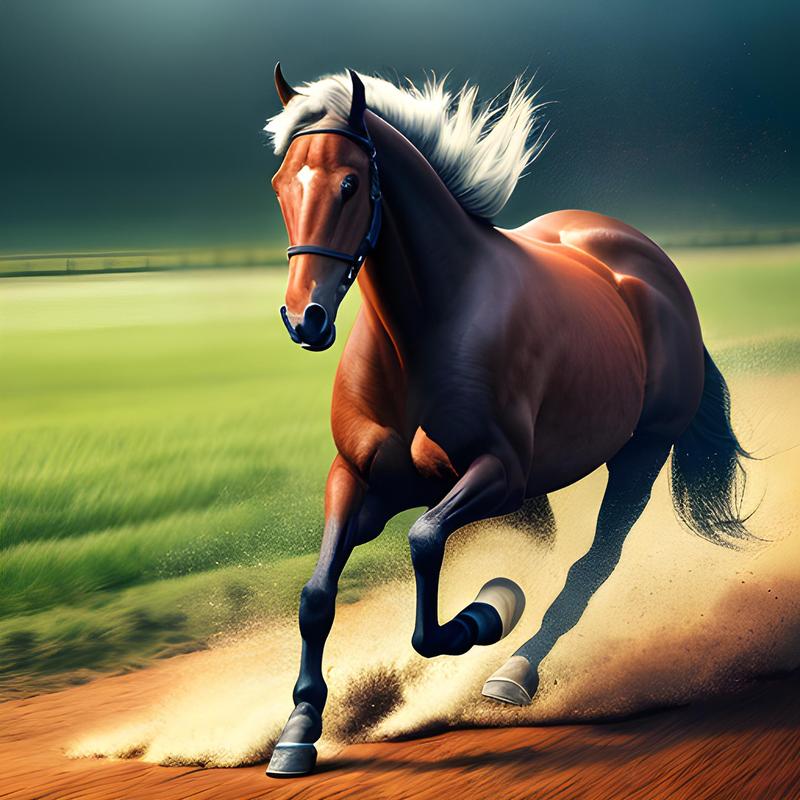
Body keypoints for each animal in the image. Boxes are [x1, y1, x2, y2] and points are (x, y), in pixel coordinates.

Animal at [263, 65, 753, 777]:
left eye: (350, 183)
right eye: (281, 184)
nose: (306, 319)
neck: (425, 333)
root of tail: (653, 265)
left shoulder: (499, 473)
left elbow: (425, 548)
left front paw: (490, 610)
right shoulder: (358, 477)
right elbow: (317, 595)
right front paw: (298, 729)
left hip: (640, 454)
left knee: (594, 564)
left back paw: (516, 670)